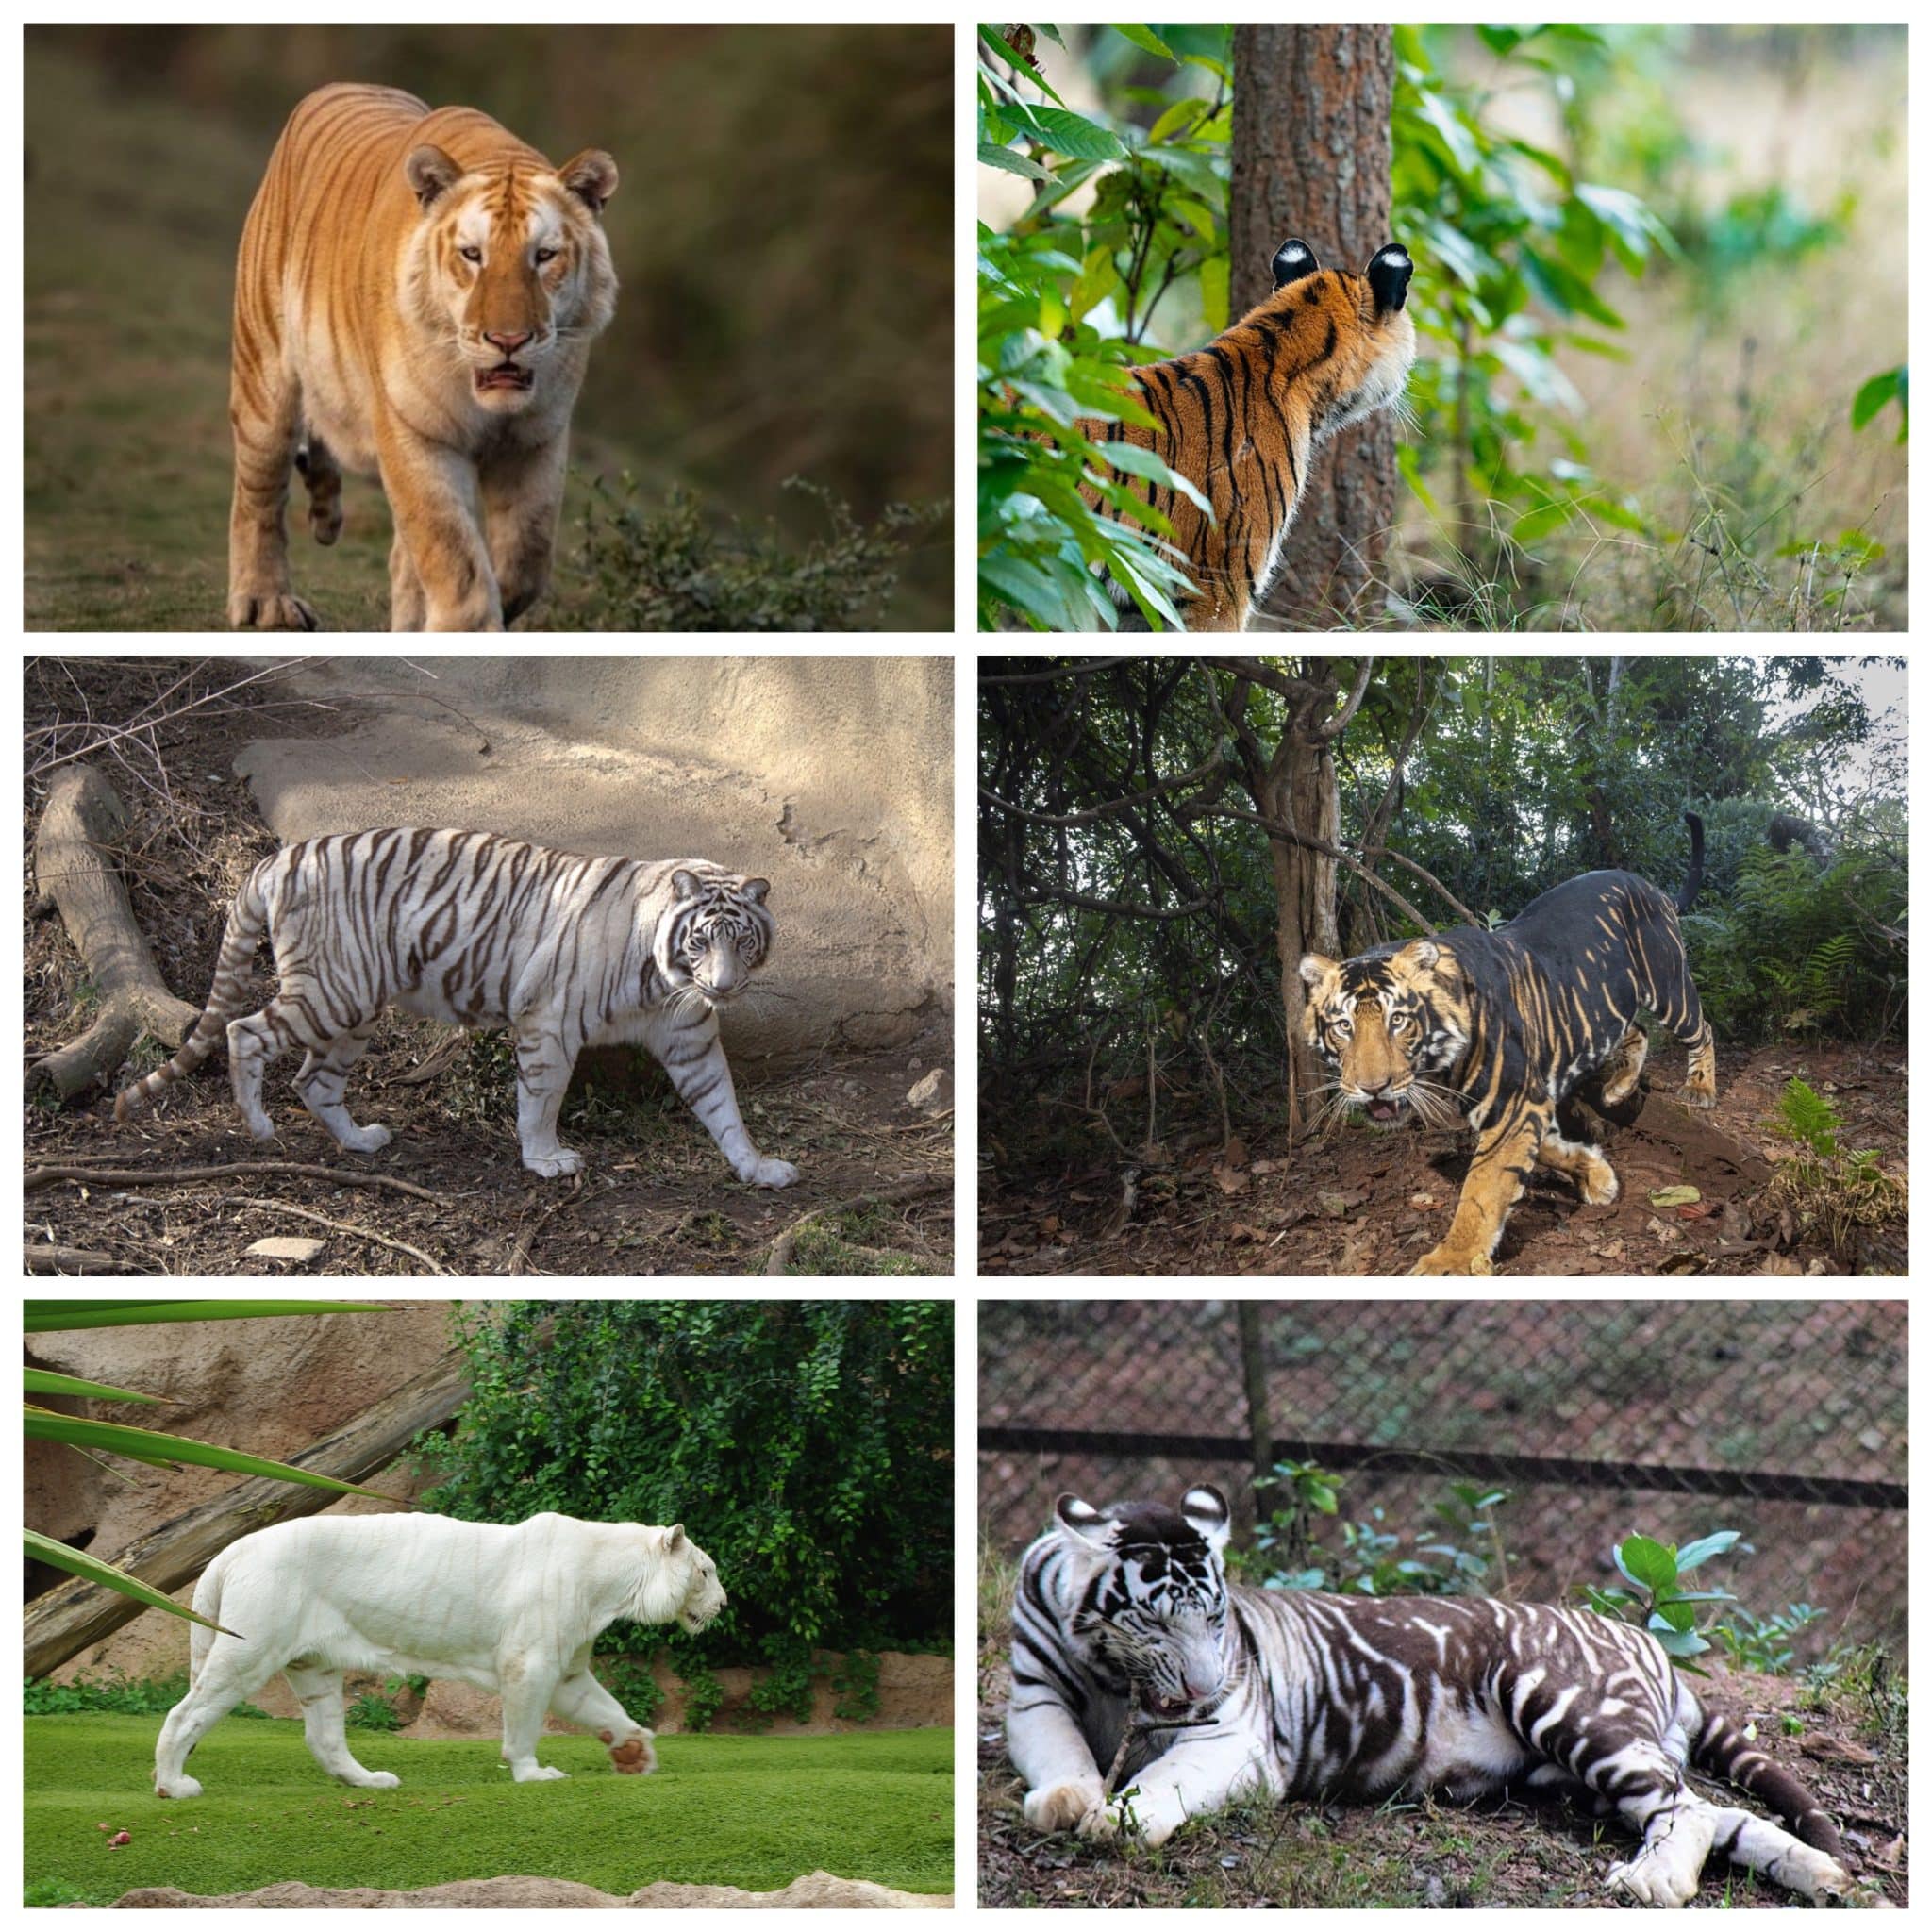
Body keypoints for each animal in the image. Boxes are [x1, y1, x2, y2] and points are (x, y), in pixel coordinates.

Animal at [113, 829, 798, 1188]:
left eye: (743, 941)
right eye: (701, 940)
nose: (724, 987)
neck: (664, 979)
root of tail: (278, 857)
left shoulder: (690, 1036)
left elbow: (722, 1104)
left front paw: (758, 1167)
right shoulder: (547, 1023)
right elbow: (541, 1100)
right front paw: (545, 1160)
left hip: (356, 1007)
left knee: (314, 1080)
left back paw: (360, 1141)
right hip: (334, 992)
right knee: (242, 1031)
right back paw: (257, 1125)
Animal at [228, 84, 619, 634]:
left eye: (544, 256)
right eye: (472, 255)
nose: (508, 339)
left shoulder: (537, 438)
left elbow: (526, 558)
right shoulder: (413, 431)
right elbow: (454, 557)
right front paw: (463, 626)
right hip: (264, 378)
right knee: (258, 493)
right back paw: (267, 603)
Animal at [1007, 1484, 1856, 1908]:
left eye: (1216, 1621)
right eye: (1155, 1621)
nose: (1205, 1687)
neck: (1113, 1673)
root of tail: (1647, 1643)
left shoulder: (1230, 1736)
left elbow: (1163, 1778)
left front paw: (1120, 1819)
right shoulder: (1033, 1693)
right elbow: (1060, 1753)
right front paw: (1067, 1800)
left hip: (1572, 1710)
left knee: (1688, 1812)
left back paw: (1654, 1883)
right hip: (1590, 1770)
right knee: (1716, 1813)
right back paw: (1823, 1875)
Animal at [1298, 815, 1713, 1275]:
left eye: (1398, 1021)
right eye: (1343, 1026)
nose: (1373, 1088)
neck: (1440, 1066)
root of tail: (1649, 885)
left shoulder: (1515, 1103)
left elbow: (1482, 1189)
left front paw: (1450, 1260)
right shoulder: (1523, 1104)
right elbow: (1546, 1150)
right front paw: (1597, 1175)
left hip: (1668, 983)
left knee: (1702, 1027)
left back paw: (1700, 1088)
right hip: (1609, 1001)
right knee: (1636, 1029)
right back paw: (1618, 1088)